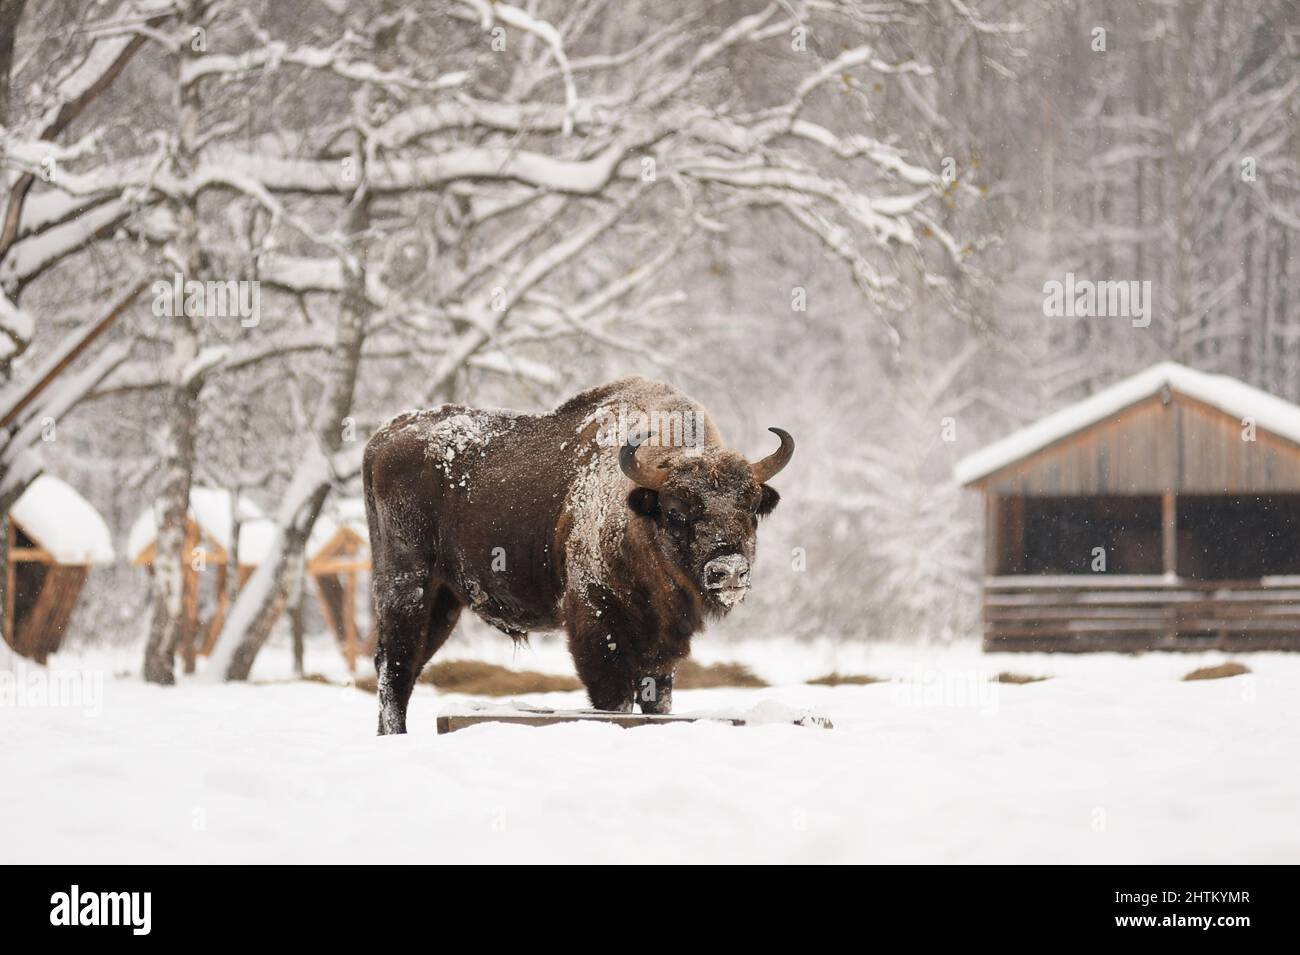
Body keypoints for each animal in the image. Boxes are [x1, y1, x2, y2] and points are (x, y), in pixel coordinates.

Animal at [363, 377, 793, 734]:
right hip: (407, 587)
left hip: (444, 601)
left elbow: (658, 701)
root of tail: (383, 438)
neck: (635, 515)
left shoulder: (661, 649)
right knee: (394, 667)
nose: (729, 570)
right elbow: (614, 701)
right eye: (675, 512)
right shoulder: (597, 626)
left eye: (752, 508)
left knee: (408, 665)